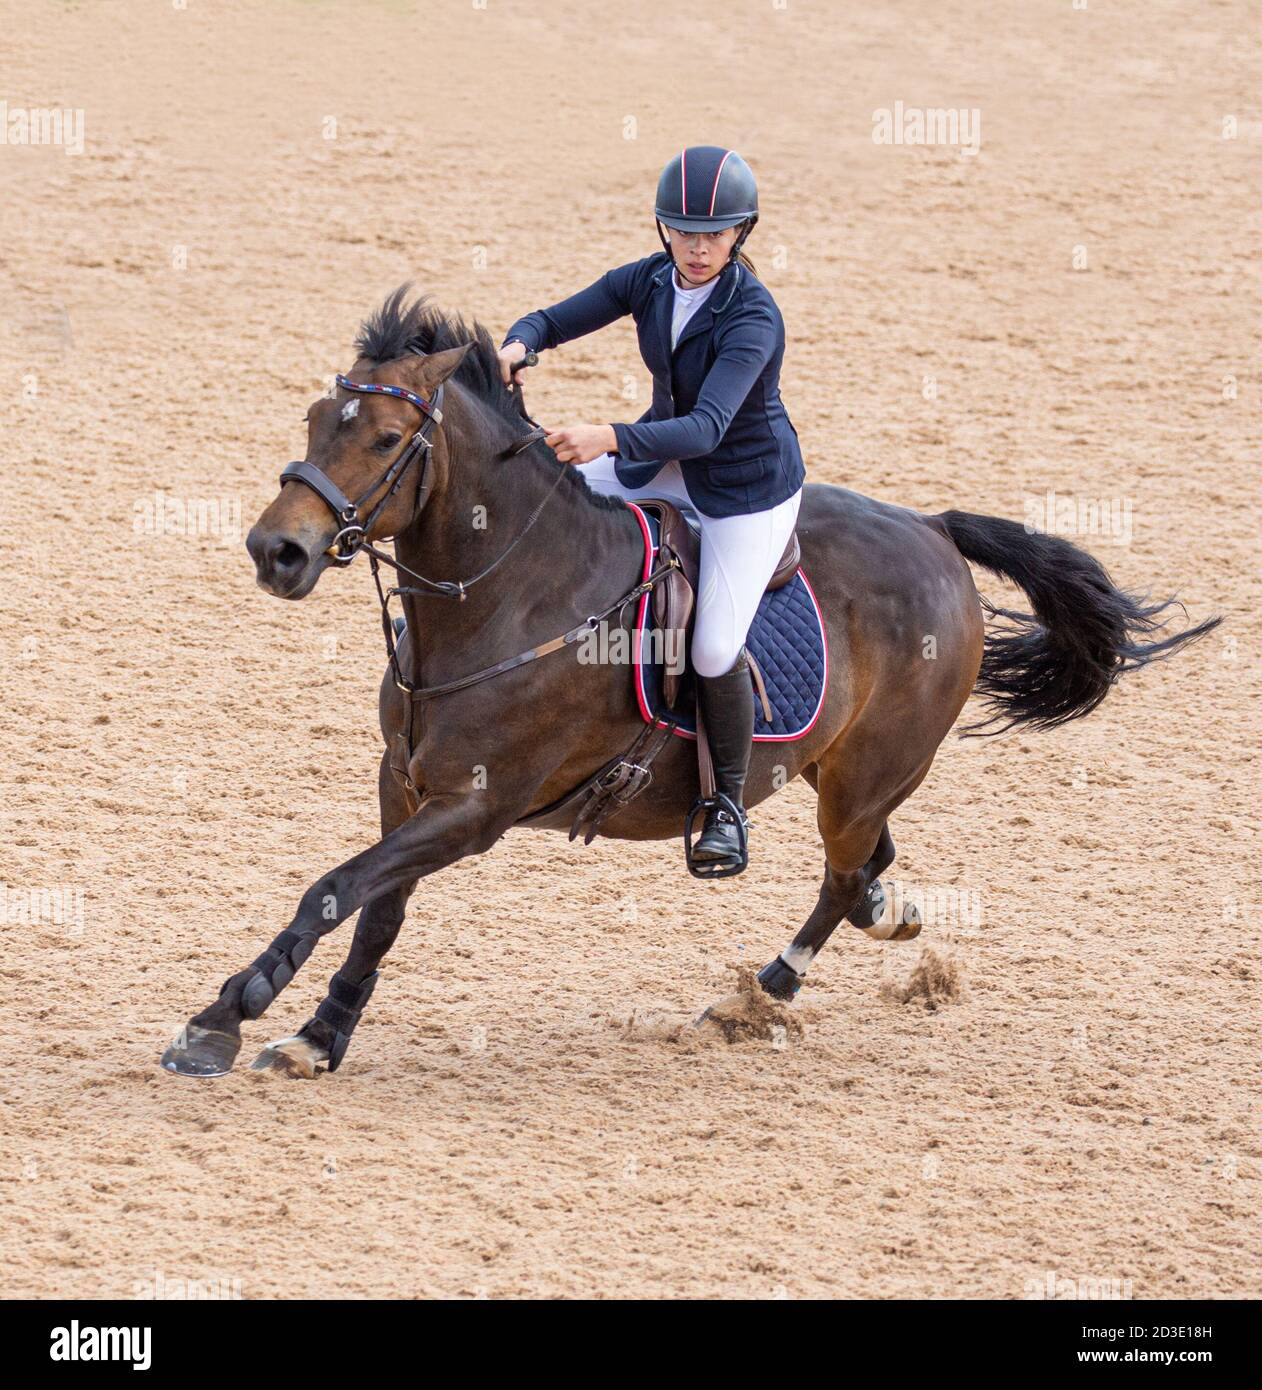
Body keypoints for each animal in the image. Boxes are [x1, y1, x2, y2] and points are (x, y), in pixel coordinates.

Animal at [160, 288, 1219, 1078]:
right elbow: (375, 908)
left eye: (384, 439)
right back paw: (880, 923)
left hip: (865, 774)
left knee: (841, 873)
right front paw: (318, 1037)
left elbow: (333, 890)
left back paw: (761, 993)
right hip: (838, 771)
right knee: (867, 863)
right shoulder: (405, 785)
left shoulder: (476, 809)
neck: (503, 595)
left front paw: (226, 1017)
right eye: (312, 420)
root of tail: (933, 530)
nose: (276, 551)